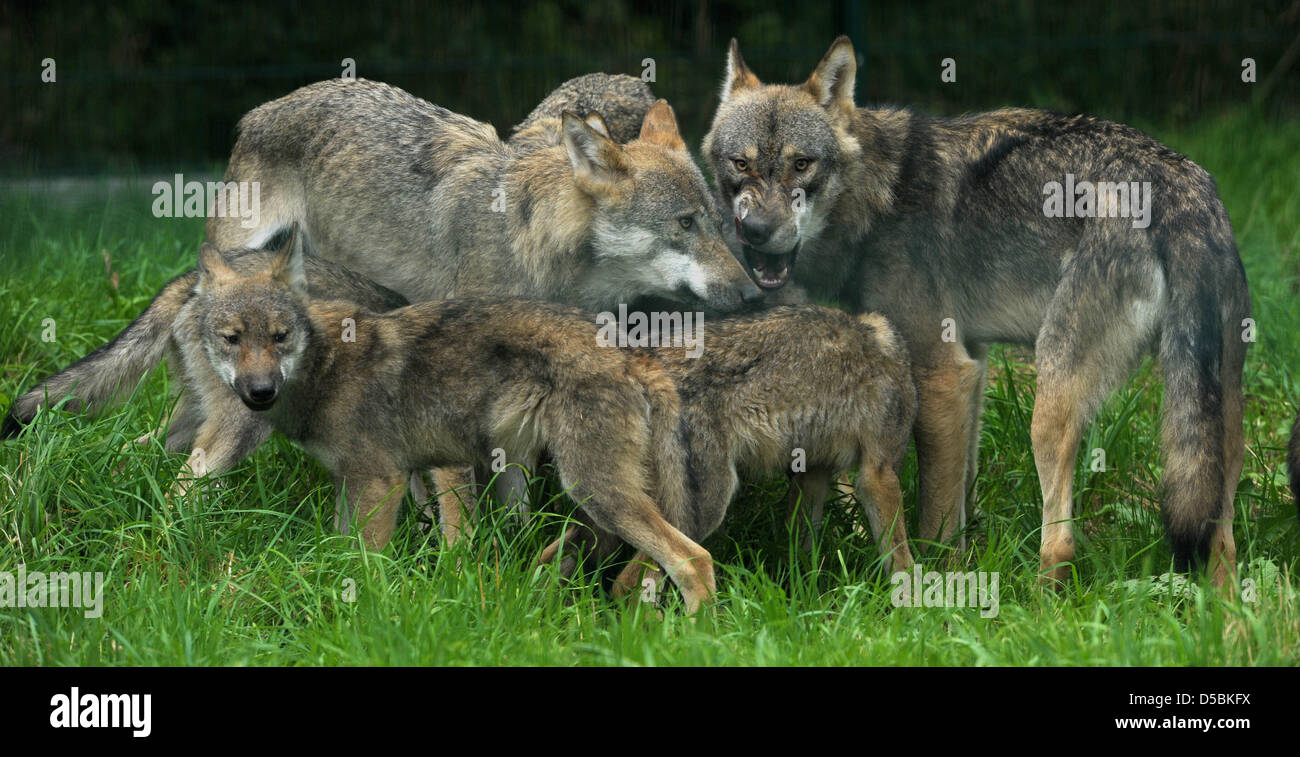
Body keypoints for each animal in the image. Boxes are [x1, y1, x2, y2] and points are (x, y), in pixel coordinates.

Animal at [528, 305, 918, 595]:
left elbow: (803, 555)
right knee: (635, 581)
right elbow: (902, 561)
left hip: (612, 511)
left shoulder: (813, 474)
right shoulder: (879, 473)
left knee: (548, 559)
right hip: (699, 511)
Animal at [702, 36, 1251, 587]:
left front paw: (943, 584)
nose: (756, 230)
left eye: (802, 165)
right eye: (741, 164)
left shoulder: (942, 374)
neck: (880, 194)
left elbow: (937, 517)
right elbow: (962, 487)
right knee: (1221, 543)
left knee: (1062, 545)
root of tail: (1181, 190)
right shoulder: (974, 366)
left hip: (1050, 402)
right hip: (1215, 426)